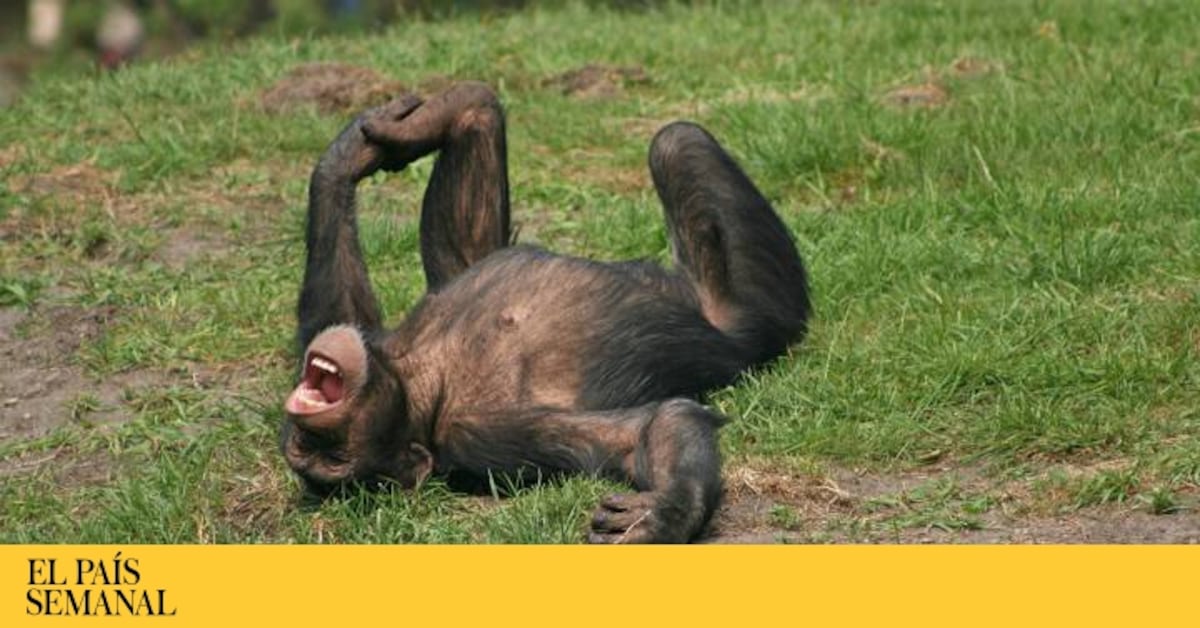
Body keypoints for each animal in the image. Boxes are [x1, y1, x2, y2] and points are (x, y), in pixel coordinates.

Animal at [280, 81, 810, 543]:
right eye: (328, 457)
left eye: (307, 446)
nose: (303, 426)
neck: (421, 379)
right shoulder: (493, 433)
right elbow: (646, 427)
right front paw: (667, 514)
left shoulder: (375, 342)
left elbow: (341, 312)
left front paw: (343, 158)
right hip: (756, 305)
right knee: (679, 144)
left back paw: (439, 114)